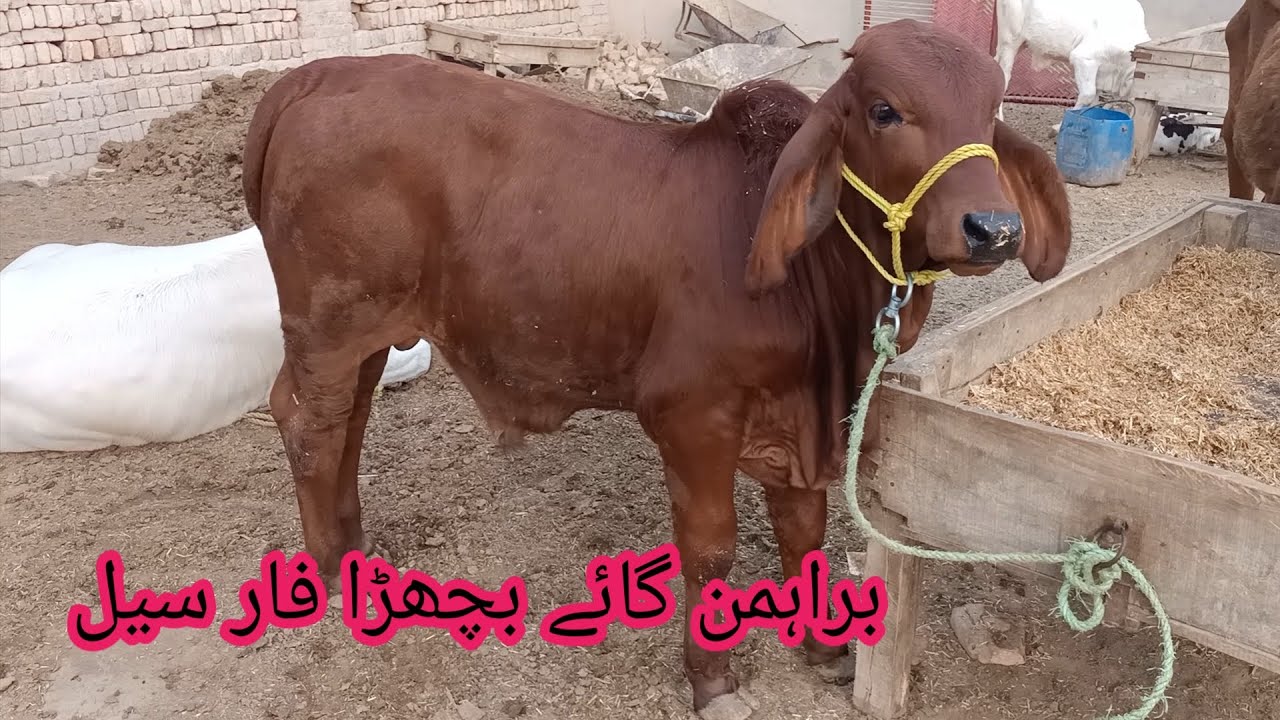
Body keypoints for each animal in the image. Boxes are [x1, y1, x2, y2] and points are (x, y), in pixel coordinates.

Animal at [242, 19, 1072, 719]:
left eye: (991, 112)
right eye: (884, 109)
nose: (994, 229)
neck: (824, 294)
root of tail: (315, 76)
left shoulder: (799, 426)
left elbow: (803, 533)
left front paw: (824, 647)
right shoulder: (691, 415)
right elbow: (711, 548)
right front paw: (713, 679)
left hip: (367, 332)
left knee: (348, 419)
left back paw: (354, 554)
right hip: (328, 323)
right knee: (308, 422)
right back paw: (329, 575)